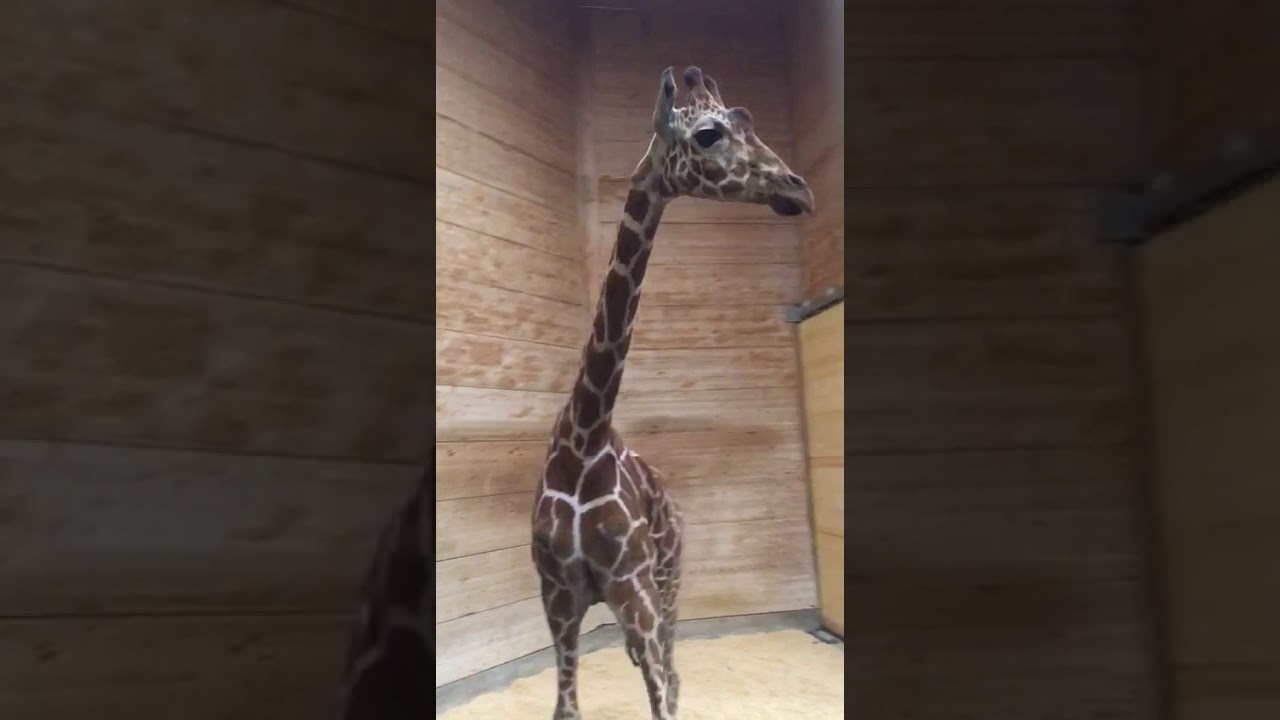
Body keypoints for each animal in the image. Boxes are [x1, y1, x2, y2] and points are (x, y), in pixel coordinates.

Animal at [531, 66, 814, 720]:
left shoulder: (633, 590)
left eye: (748, 120)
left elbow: (662, 694)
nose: (799, 188)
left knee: (673, 670)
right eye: (708, 133)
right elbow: (567, 707)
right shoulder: (557, 600)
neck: (583, 441)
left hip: (668, 578)